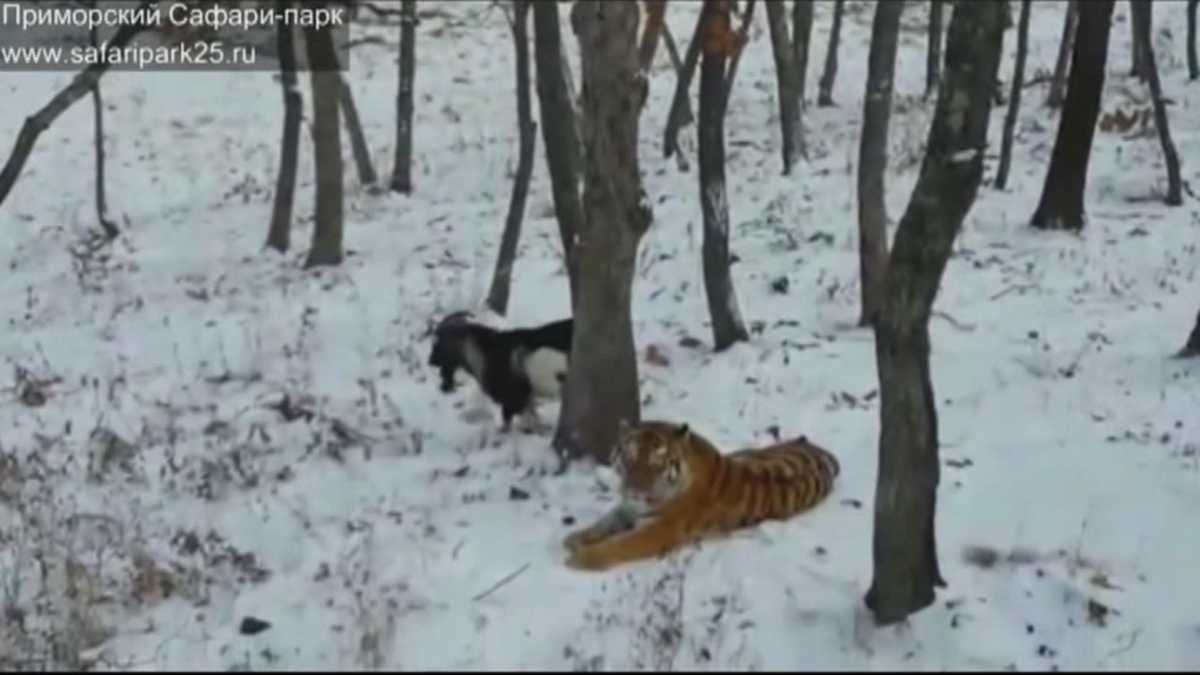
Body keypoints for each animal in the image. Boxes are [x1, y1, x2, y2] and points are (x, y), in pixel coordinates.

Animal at [562, 418, 841, 572]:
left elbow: (618, 544)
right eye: (630, 458)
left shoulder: (658, 531)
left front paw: (580, 558)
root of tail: (821, 450)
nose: (634, 491)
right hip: (749, 452)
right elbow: (606, 521)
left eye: (656, 463)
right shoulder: (629, 508)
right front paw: (575, 538)